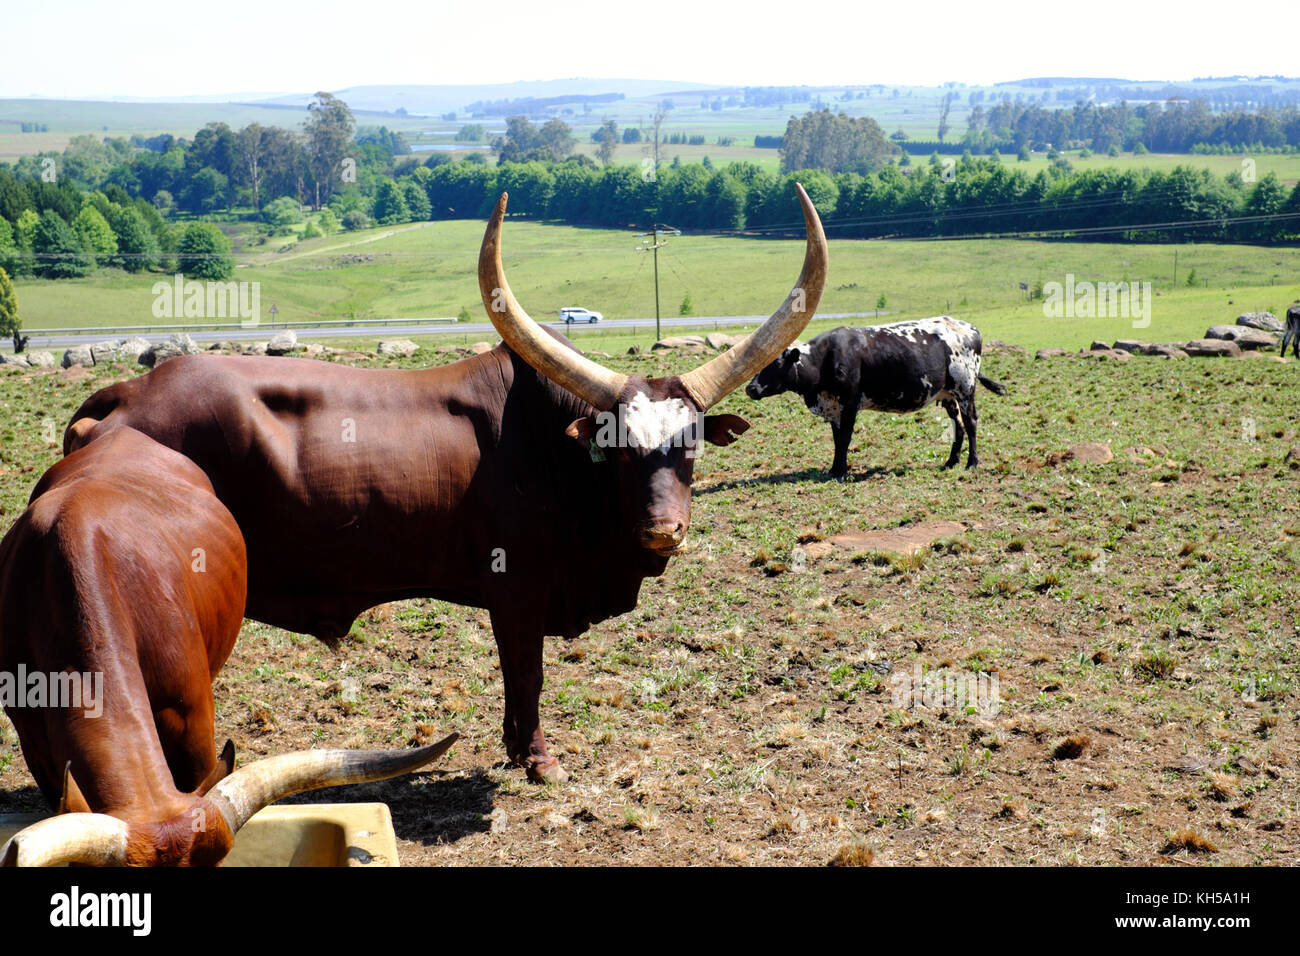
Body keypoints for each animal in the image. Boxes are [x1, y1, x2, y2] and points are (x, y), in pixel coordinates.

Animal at [59, 185, 828, 785]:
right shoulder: (516, 588)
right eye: (616, 452)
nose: (663, 529)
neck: (551, 448)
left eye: (690, 446)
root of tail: (127, 391)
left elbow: (519, 675)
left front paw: (517, 749)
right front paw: (539, 758)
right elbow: (527, 671)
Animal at [744, 317, 1005, 478]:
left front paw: (840, 471)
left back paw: (972, 463)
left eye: (774, 364)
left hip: (965, 388)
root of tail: (968, 327)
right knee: (958, 425)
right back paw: (951, 461)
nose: (750, 388)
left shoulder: (850, 403)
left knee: (970, 422)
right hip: (948, 393)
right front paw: (834, 468)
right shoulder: (833, 408)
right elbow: (837, 439)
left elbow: (845, 439)